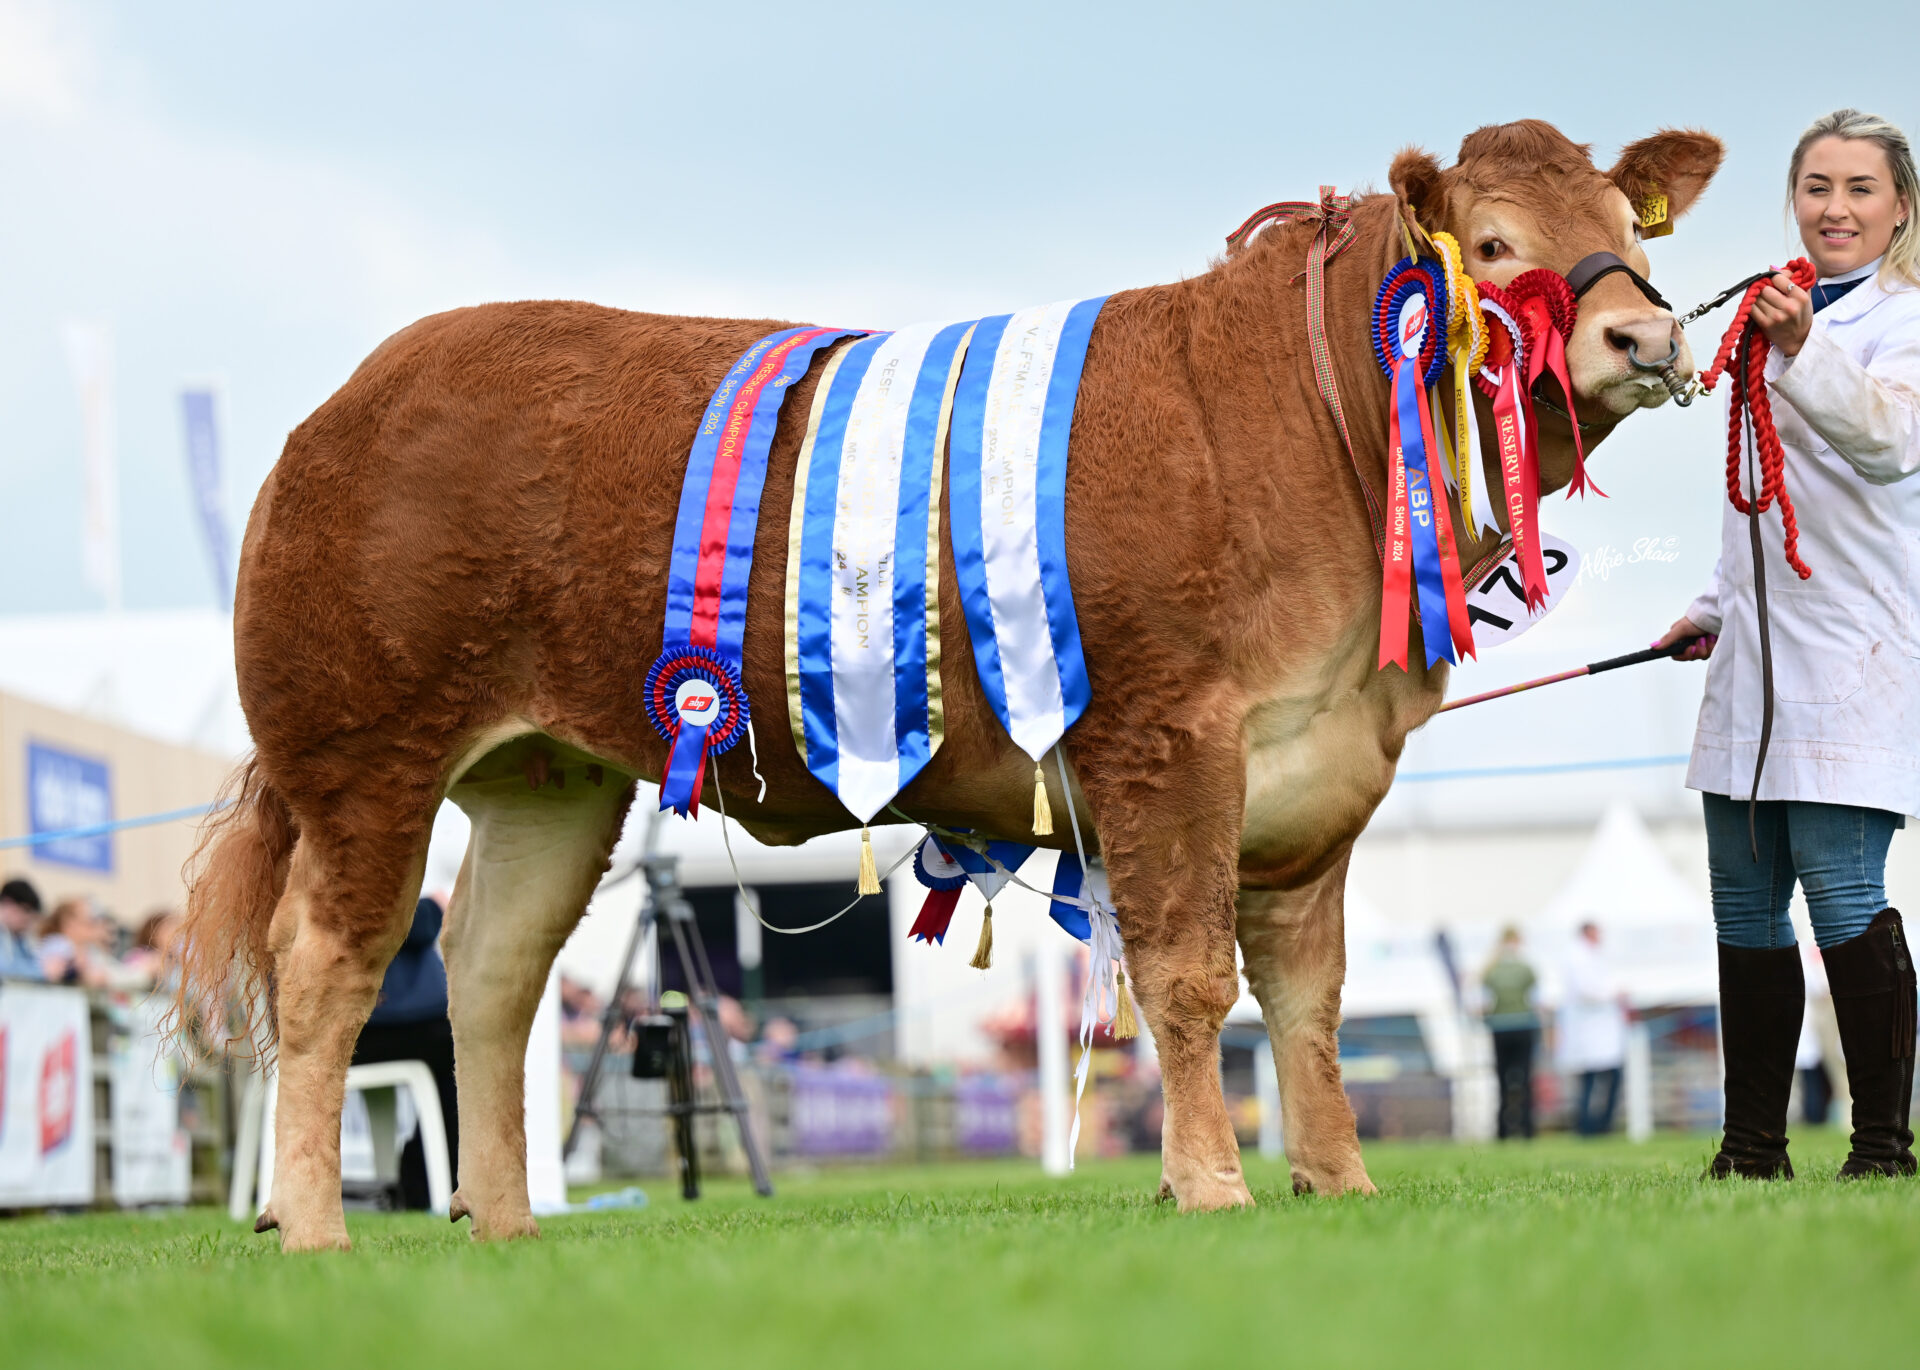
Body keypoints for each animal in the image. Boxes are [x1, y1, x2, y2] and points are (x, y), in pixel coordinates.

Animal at [179, 120, 1722, 1251]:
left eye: (1627, 223)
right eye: (1497, 247)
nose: (1647, 340)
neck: (1317, 432)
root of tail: (357, 397)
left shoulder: (1317, 766)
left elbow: (1310, 998)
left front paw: (1337, 1180)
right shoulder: (1167, 735)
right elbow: (1188, 974)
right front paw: (1214, 1183)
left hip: (546, 778)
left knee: (492, 971)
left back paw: (502, 1222)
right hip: (362, 759)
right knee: (327, 968)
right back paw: (309, 1222)